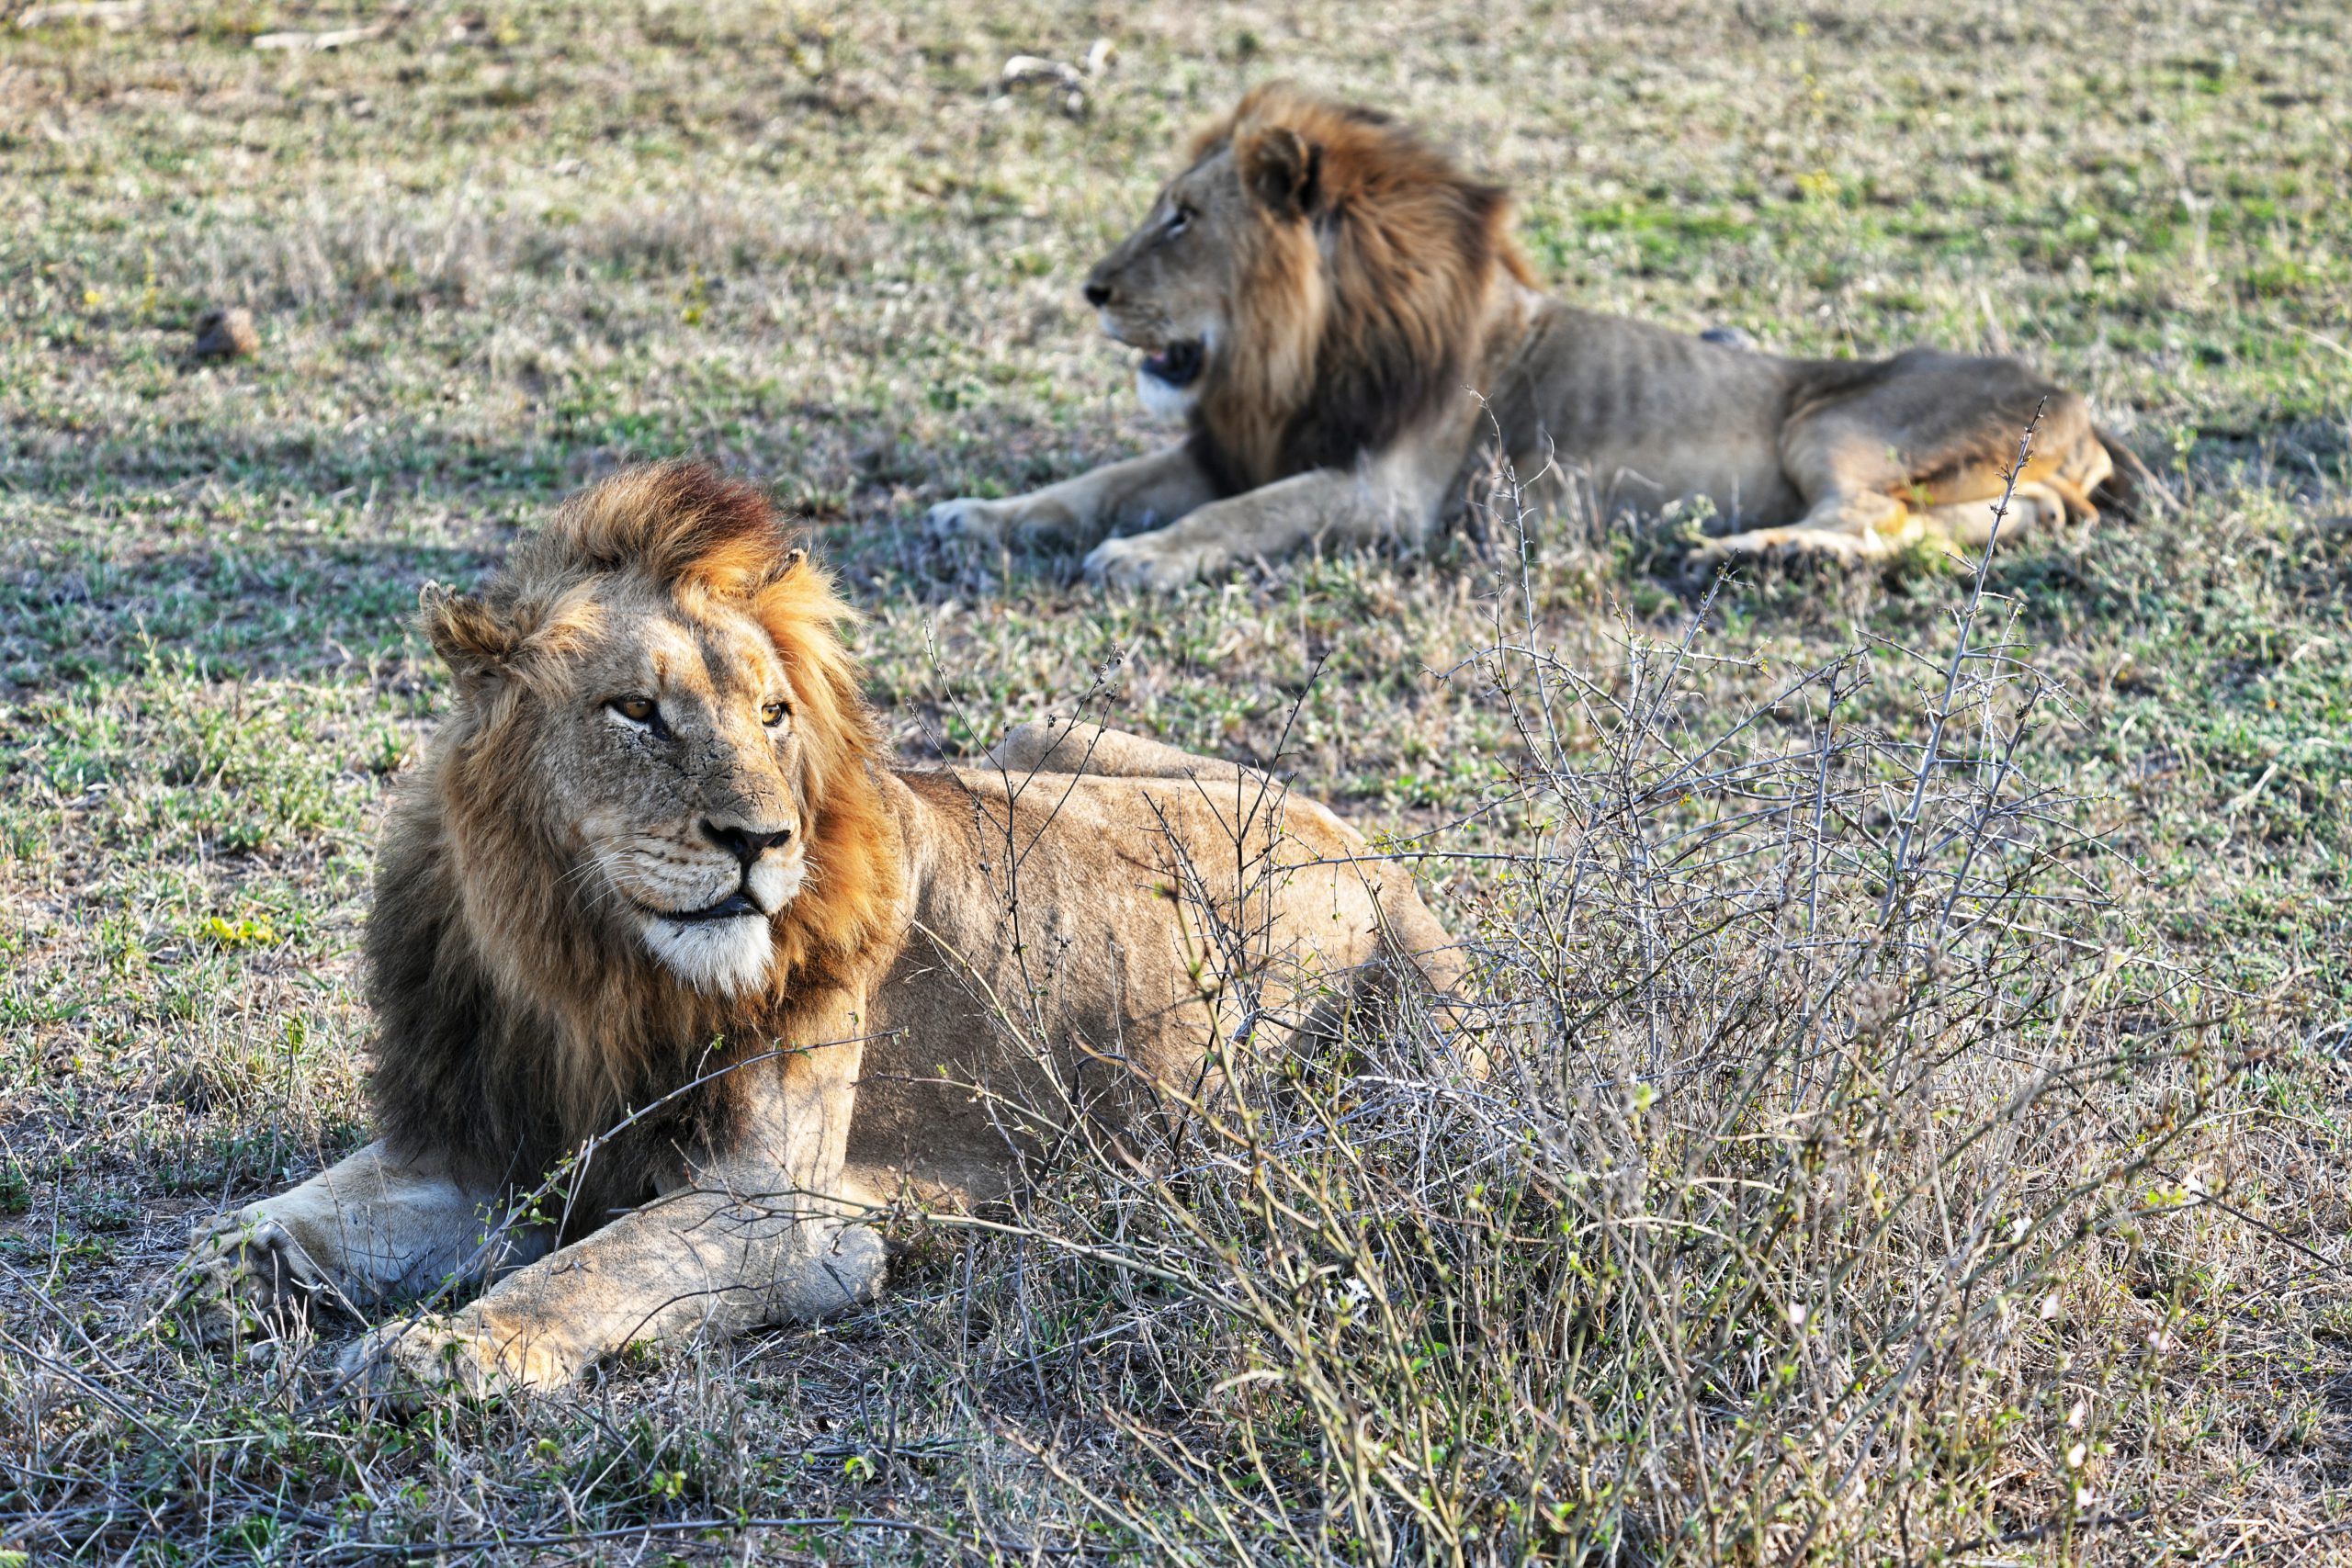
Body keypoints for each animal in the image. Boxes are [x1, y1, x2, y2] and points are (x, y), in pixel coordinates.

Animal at [165, 461, 1467, 1396]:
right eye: (635, 712)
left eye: (774, 715)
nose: (761, 841)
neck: (581, 969)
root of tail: (1357, 839)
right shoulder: (480, 1146)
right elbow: (287, 1213)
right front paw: (225, 1273)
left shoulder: (785, 1218)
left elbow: (585, 1272)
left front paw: (447, 1350)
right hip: (1047, 733)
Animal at [925, 81, 2133, 590]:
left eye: (1182, 216)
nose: (1090, 289)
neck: (1290, 355)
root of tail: (2080, 409)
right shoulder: (1227, 446)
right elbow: (1092, 485)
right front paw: (972, 517)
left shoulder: (1380, 488)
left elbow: (1236, 518)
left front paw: (1140, 559)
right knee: (1954, 526)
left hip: (1834, 426)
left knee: (1868, 518)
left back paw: (1749, 555)